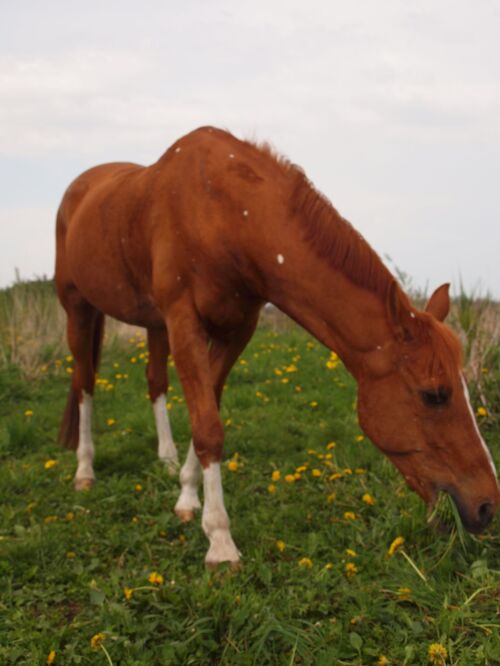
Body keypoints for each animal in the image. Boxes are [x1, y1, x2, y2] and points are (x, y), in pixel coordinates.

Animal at [55, 126, 499, 568]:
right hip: (78, 308)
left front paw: (187, 497)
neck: (224, 213)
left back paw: (164, 458)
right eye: (434, 395)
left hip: (153, 324)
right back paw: (84, 471)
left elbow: (207, 409)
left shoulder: (236, 330)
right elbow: (208, 428)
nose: (487, 505)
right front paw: (220, 542)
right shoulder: (184, 321)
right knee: (85, 382)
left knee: (153, 381)